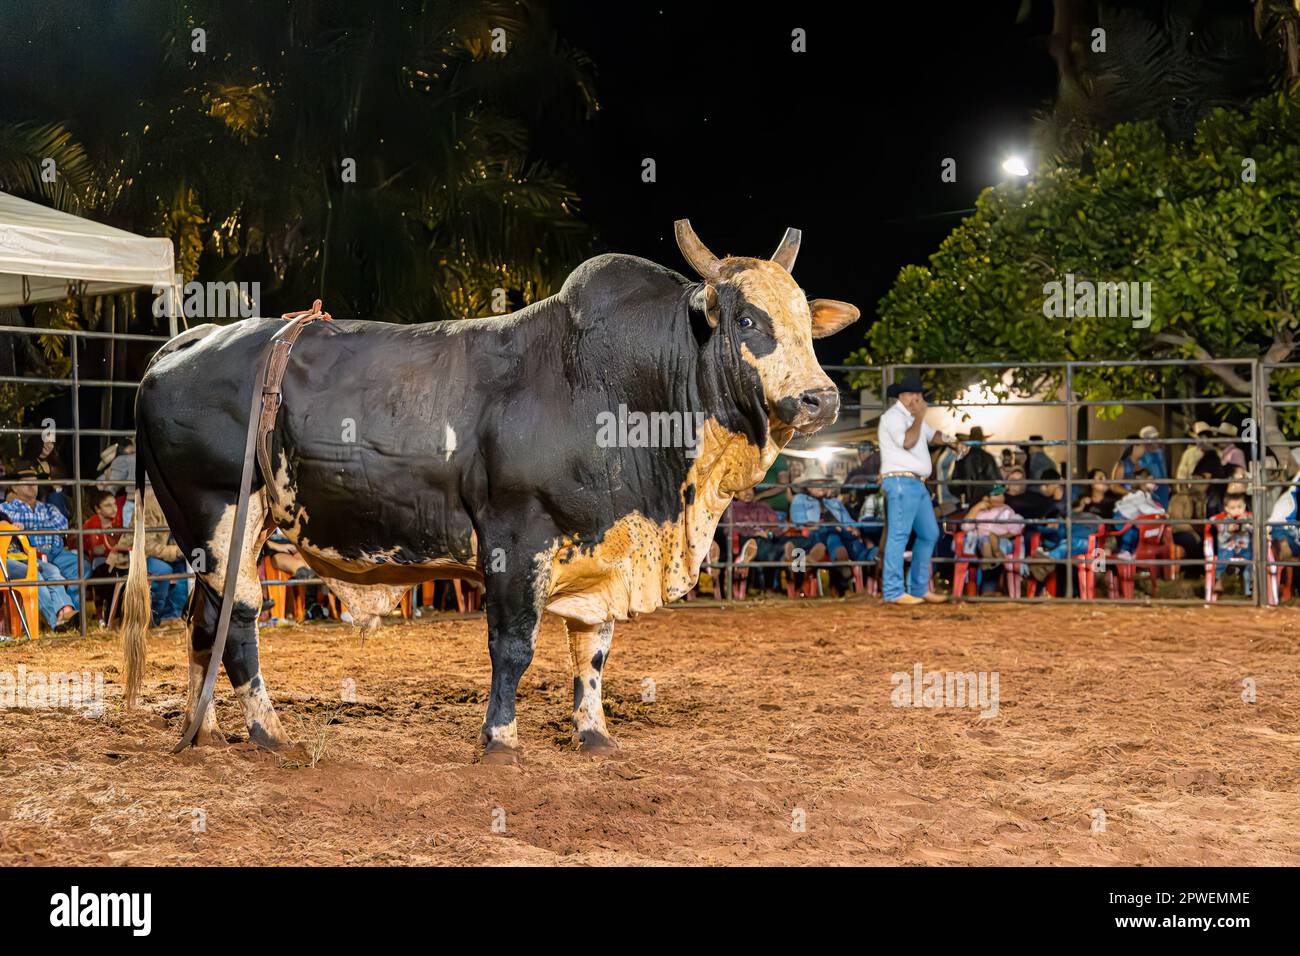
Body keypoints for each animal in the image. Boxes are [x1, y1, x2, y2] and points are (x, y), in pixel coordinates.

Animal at [120, 220, 859, 762]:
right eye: (747, 321)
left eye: (804, 322)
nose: (820, 398)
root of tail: (185, 343)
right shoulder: (516, 538)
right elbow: (514, 645)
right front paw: (500, 740)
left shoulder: (604, 546)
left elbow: (591, 646)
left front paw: (594, 734)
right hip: (218, 514)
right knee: (241, 619)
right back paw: (267, 732)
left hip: (224, 529)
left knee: (206, 621)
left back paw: (204, 730)